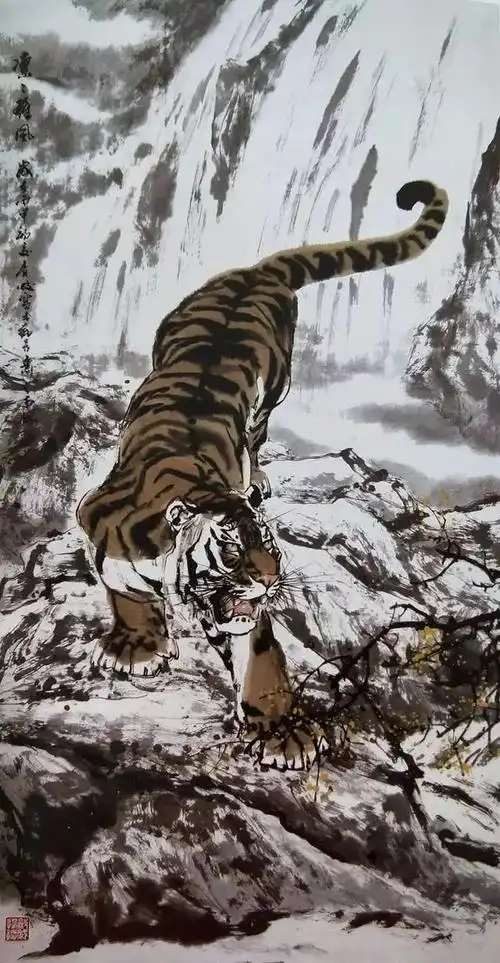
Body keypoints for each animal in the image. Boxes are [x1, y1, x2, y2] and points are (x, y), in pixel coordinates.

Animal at [76, 179, 448, 758]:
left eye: (271, 545)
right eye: (230, 551)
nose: (274, 581)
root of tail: (254, 271)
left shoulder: (247, 618)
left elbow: (261, 659)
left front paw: (282, 735)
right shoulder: (101, 526)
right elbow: (126, 593)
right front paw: (136, 646)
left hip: (275, 386)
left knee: (258, 434)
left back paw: (260, 476)